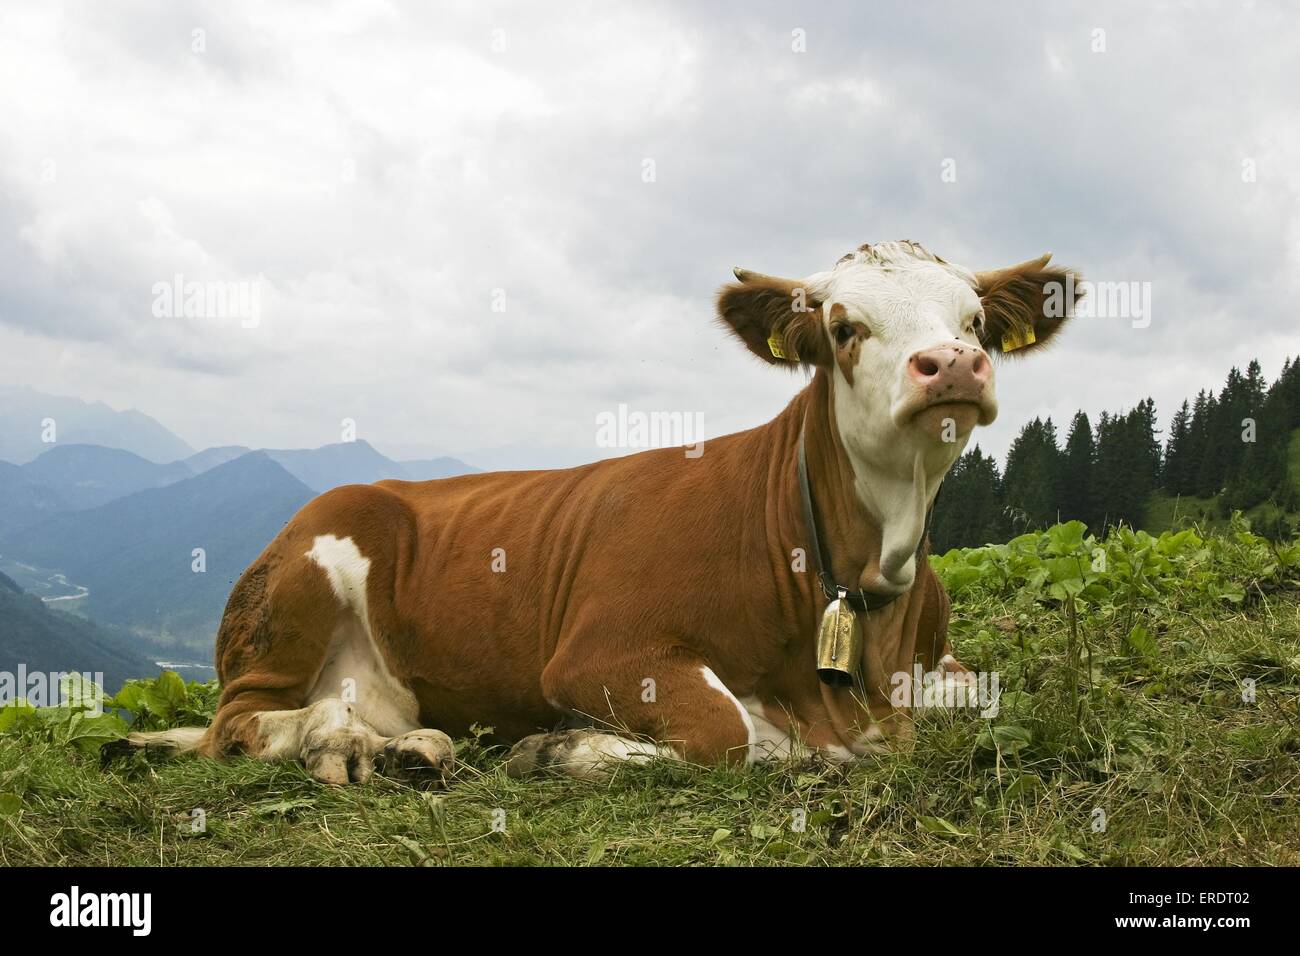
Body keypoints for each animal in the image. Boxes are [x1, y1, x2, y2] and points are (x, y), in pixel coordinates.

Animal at [118, 240, 1080, 784]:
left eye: (975, 322)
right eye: (844, 327)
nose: (950, 364)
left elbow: (984, 694)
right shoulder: (599, 652)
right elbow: (728, 732)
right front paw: (562, 749)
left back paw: (407, 747)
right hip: (299, 592)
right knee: (240, 723)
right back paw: (340, 744)